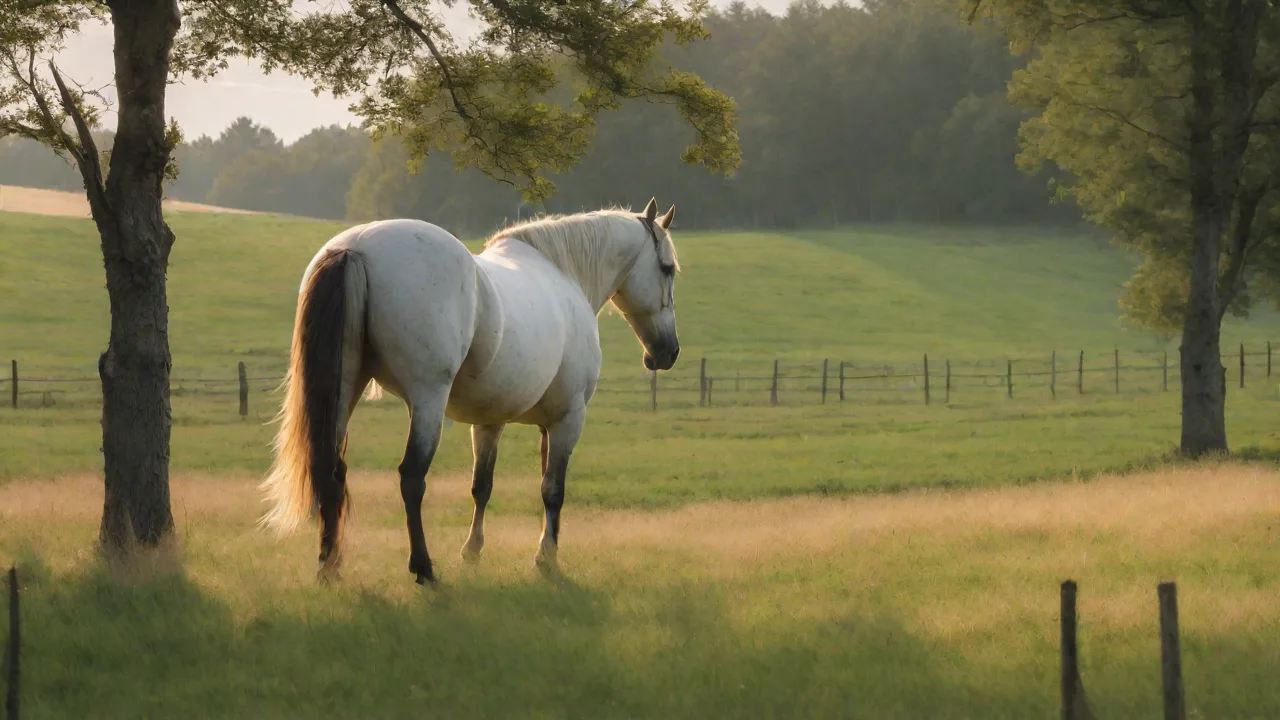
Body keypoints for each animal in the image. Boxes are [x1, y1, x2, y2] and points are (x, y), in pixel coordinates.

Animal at [261, 198, 681, 585]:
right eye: (667, 269)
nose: (667, 352)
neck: (565, 276)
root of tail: (356, 247)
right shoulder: (567, 419)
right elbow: (552, 489)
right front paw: (546, 559)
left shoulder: (490, 423)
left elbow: (482, 486)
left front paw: (473, 551)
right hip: (427, 400)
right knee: (411, 478)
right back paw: (423, 569)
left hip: (345, 390)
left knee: (331, 470)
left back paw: (330, 566)